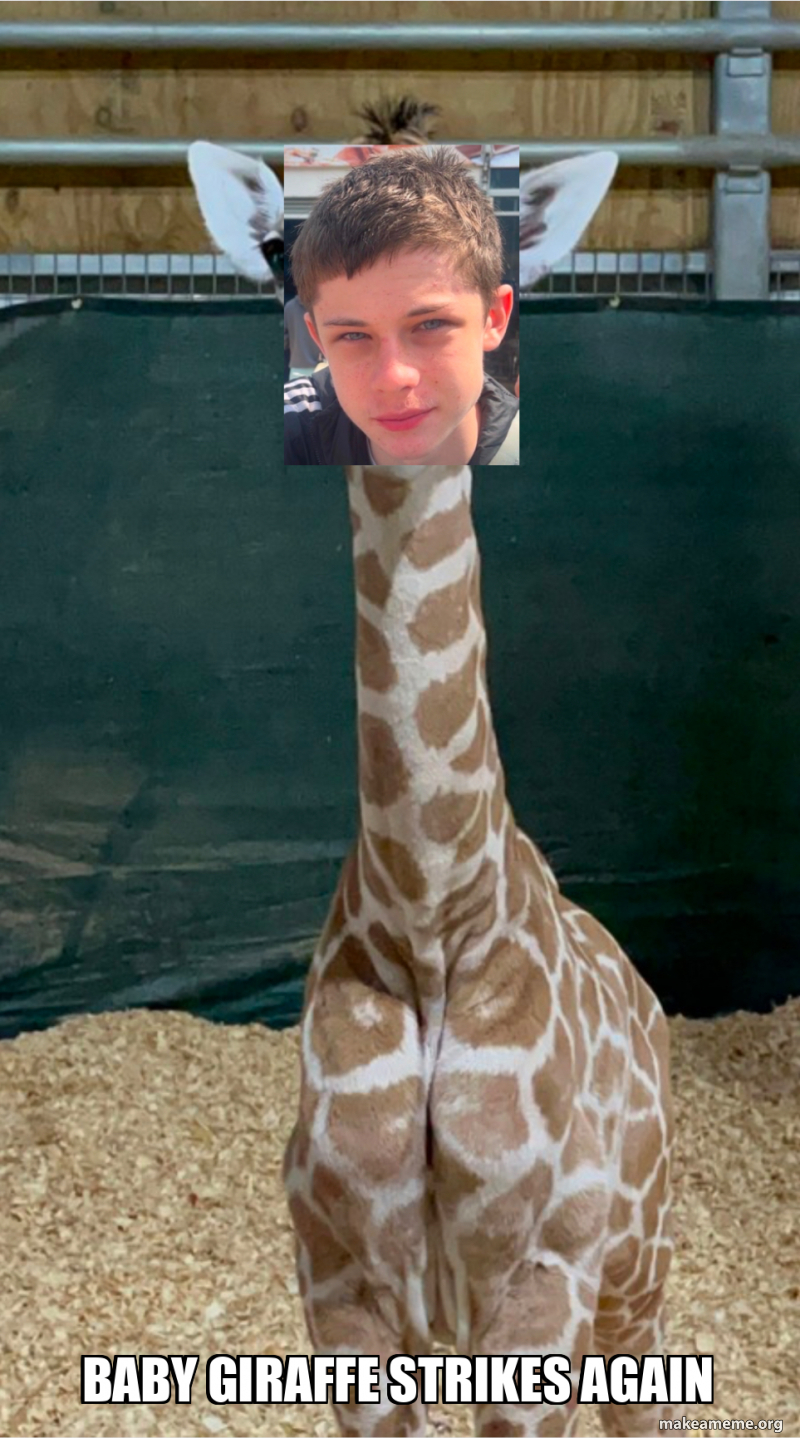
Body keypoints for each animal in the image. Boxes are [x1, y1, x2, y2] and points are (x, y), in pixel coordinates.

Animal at [189, 120, 684, 1438]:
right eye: (284, 255)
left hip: (635, 1264)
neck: (426, 906)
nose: (395, 396)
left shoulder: (542, 1278)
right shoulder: (344, 1287)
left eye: (471, 273)